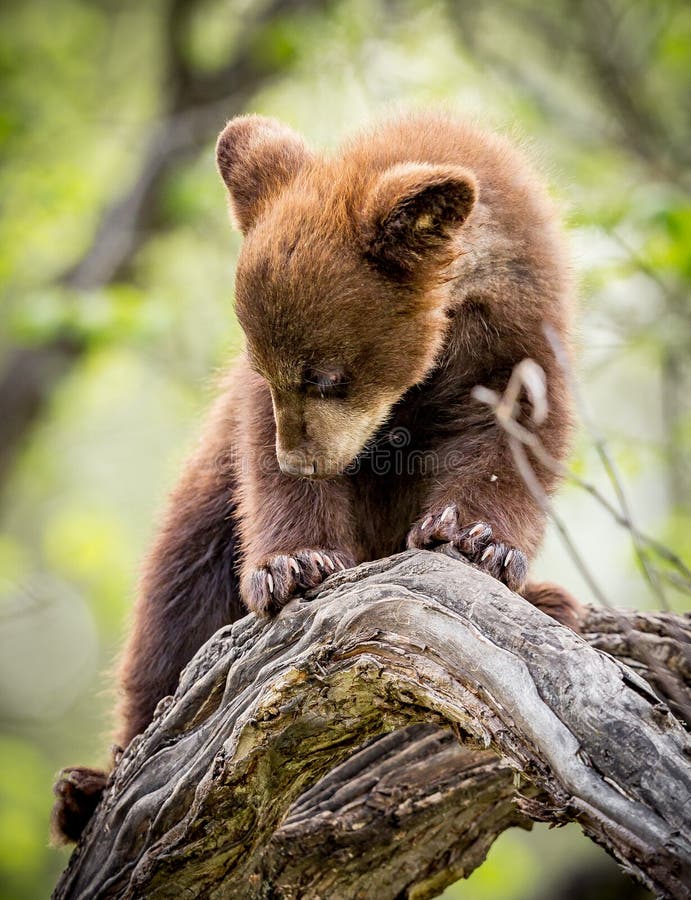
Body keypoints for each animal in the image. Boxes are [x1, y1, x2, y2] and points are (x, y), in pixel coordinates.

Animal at [51, 112, 581, 844]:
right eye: (266, 366)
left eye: (326, 376)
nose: (303, 457)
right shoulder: (255, 417)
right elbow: (264, 470)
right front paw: (293, 565)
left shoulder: (520, 339)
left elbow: (514, 444)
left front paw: (476, 540)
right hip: (200, 516)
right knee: (172, 607)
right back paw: (86, 789)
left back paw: (554, 602)